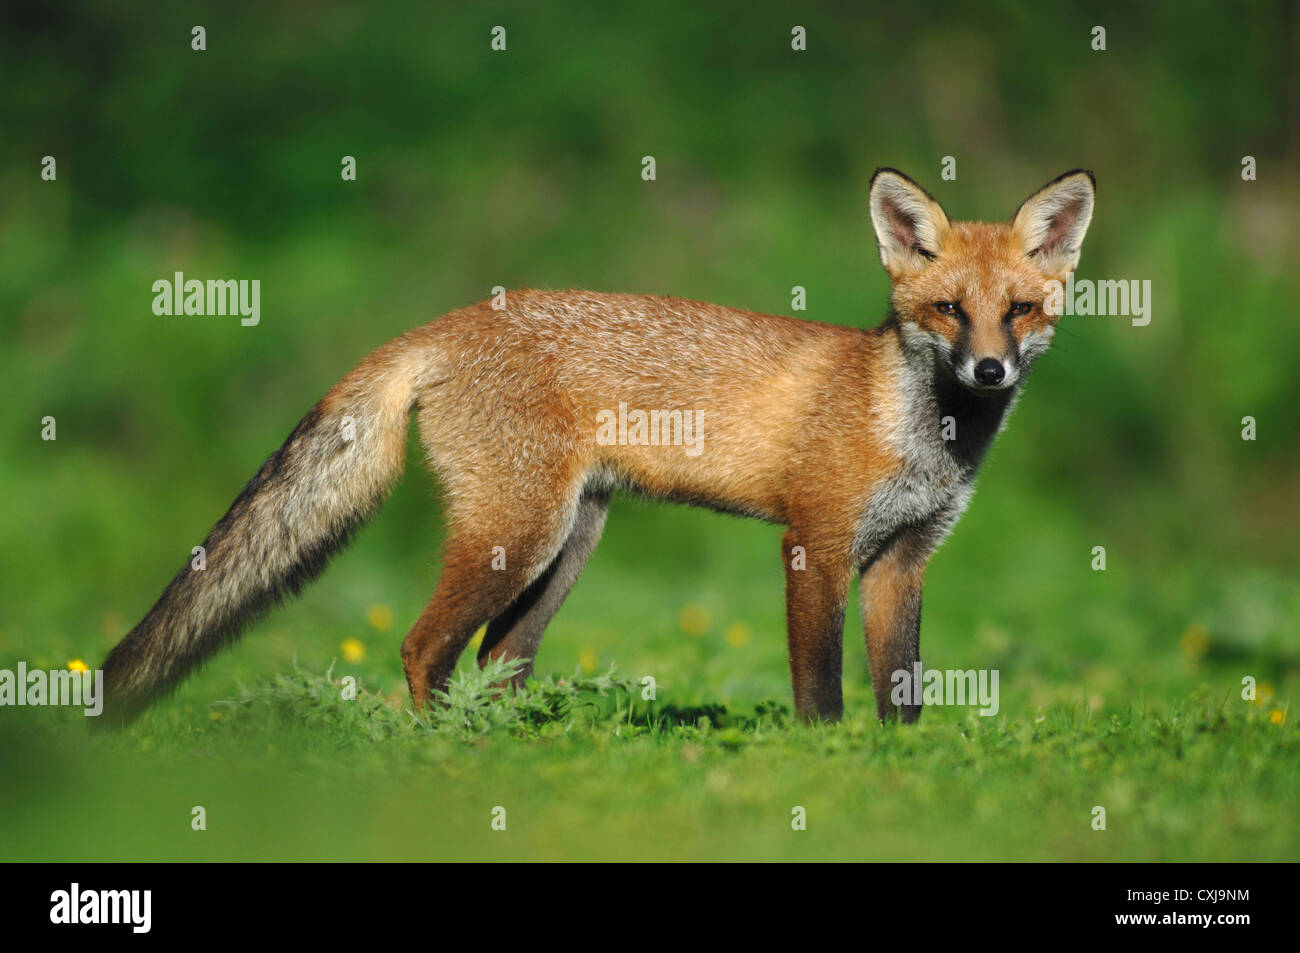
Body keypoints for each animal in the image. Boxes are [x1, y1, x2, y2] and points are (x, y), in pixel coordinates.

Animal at [101, 167, 1095, 726]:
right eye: (947, 310)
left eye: (1020, 311)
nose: (990, 372)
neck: (922, 435)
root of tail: (445, 323)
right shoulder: (813, 543)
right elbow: (821, 688)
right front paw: (824, 765)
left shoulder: (903, 559)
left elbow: (903, 695)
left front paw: (895, 770)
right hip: (519, 533)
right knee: (425, 649)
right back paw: (436, 760)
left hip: (567, 545)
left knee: (497, 663)